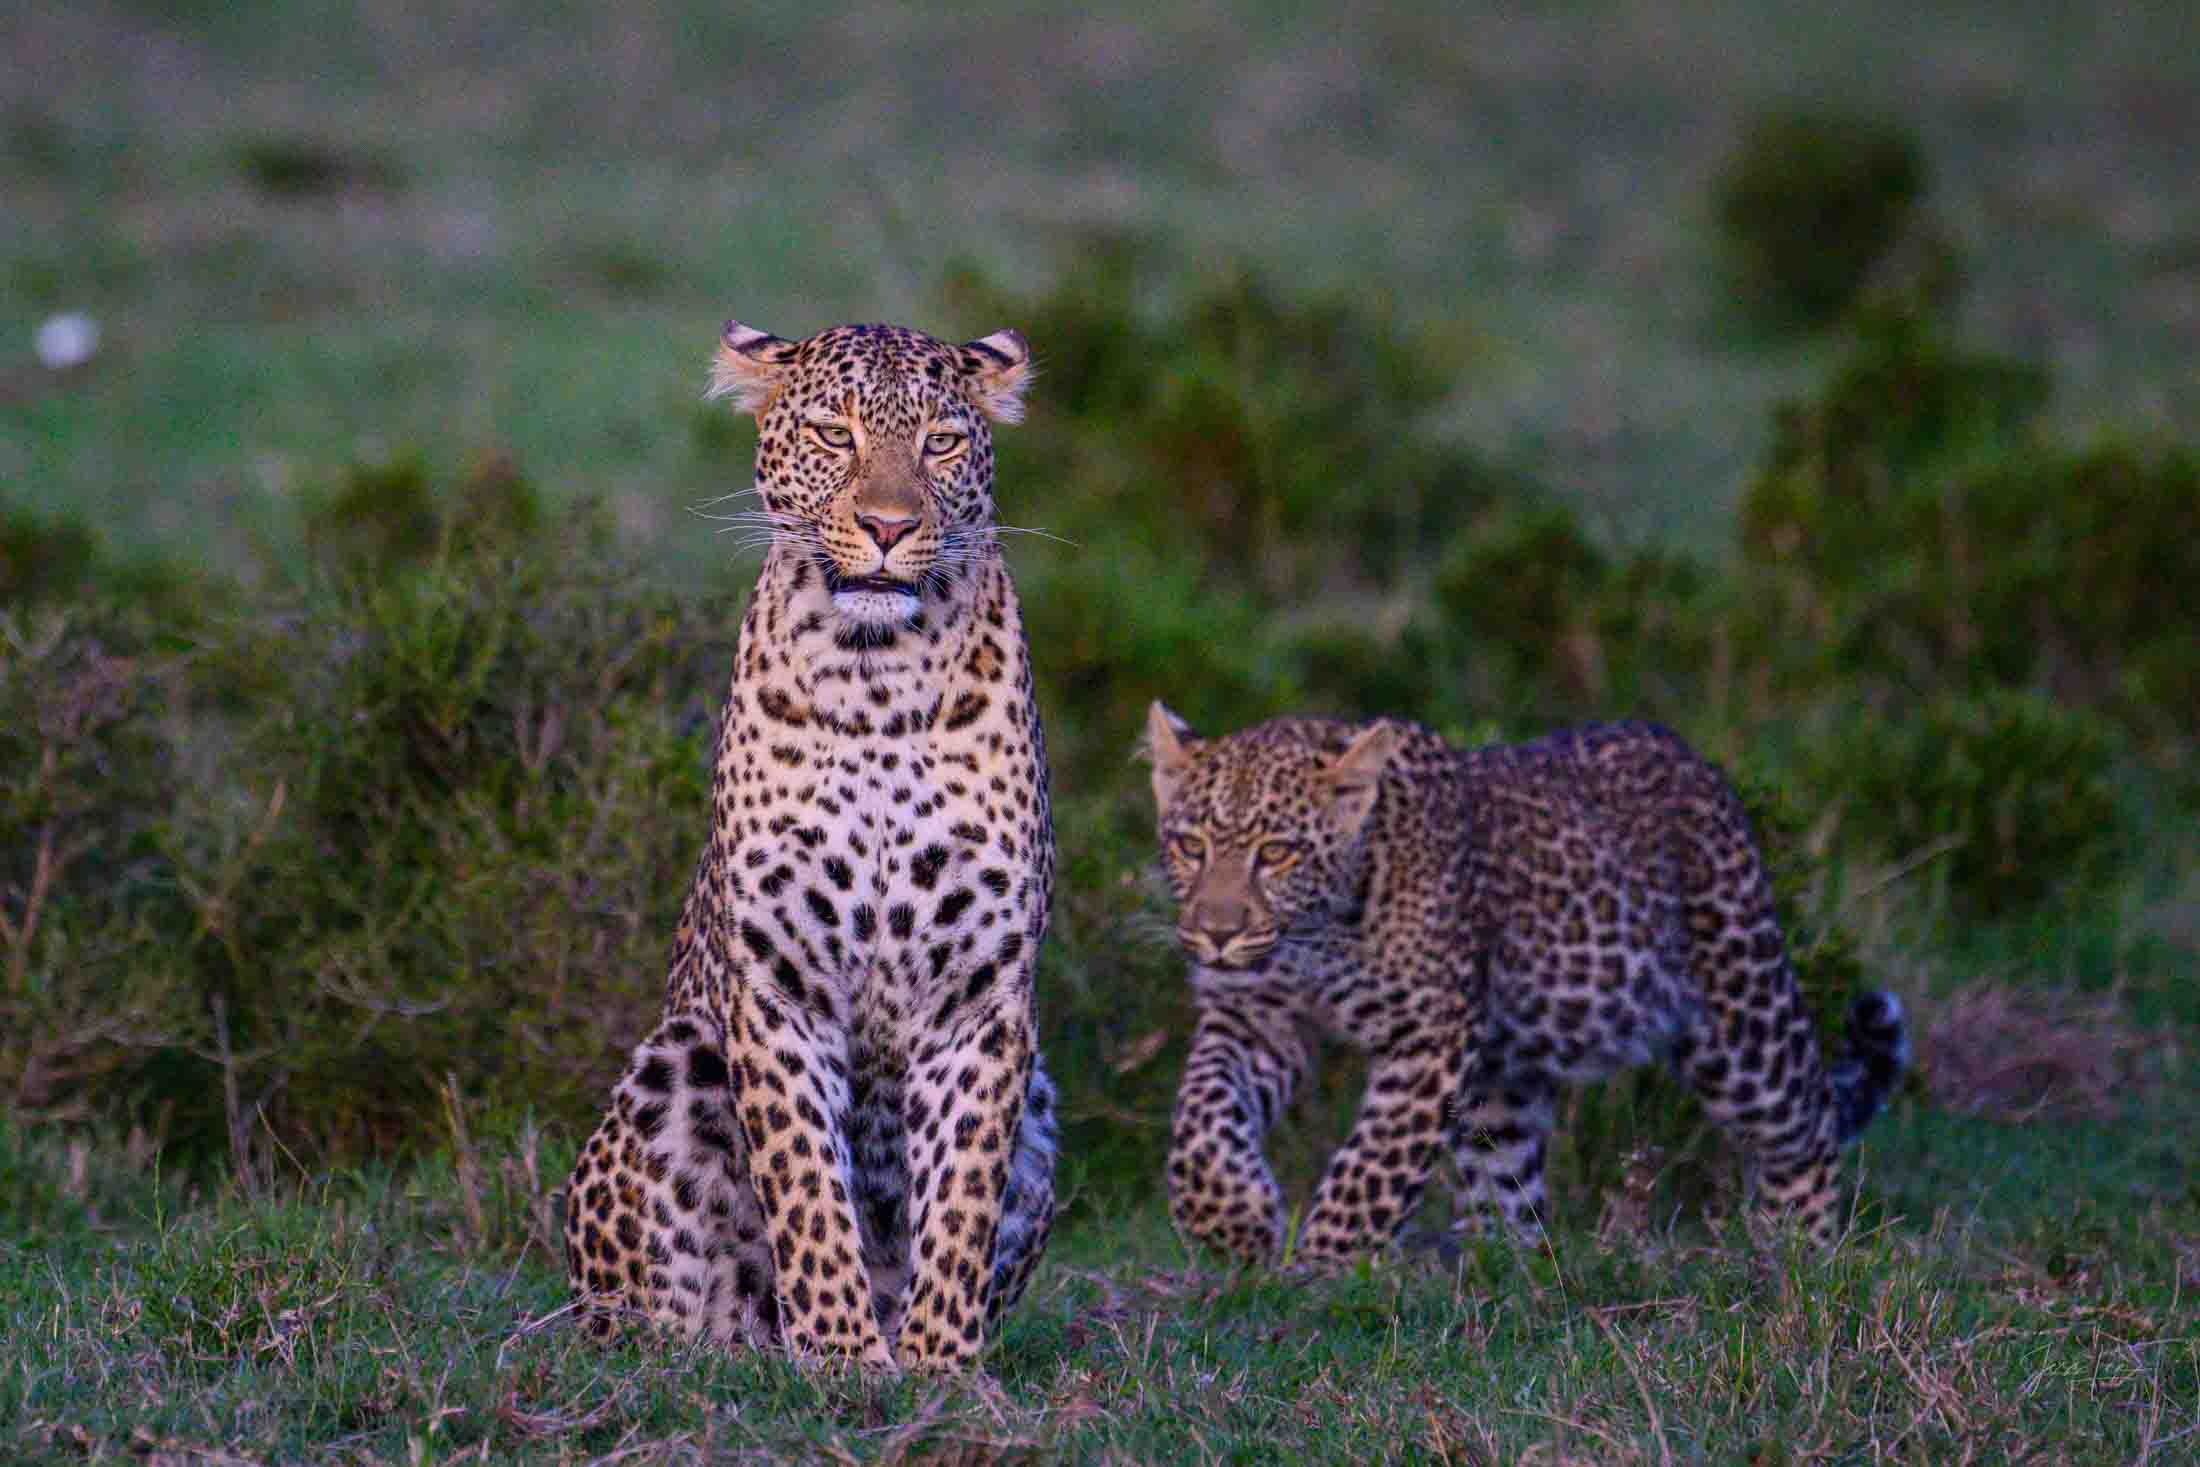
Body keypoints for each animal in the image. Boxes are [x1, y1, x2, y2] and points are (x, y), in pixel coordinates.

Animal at [563, 320, 1059, 1372]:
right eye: (836, 435)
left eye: (942, 444)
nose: (887, 526)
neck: (877, 683)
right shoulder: (776, 981)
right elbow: (804, 1182)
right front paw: (840, 1353)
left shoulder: (981, 994)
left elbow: (961, 1194)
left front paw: (936, 1363)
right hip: (674, 1064)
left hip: (1041, 1097)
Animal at [1144, 705, 1909, 1266]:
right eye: (1189, 846)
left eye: (1276, 853)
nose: (1216, 932)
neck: (1316, 935)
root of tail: (1702, 766)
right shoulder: (1254, 1017)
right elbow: (1198, 1121)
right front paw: (1237, 1221)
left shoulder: (1428, 1034)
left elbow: (1374, 1164)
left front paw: (1323, 1266)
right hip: (1504, 1083)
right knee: (1508, 1183)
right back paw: (1501, 1268)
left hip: (1740, 1013)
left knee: (1805, 1122)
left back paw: (1794, 1253)